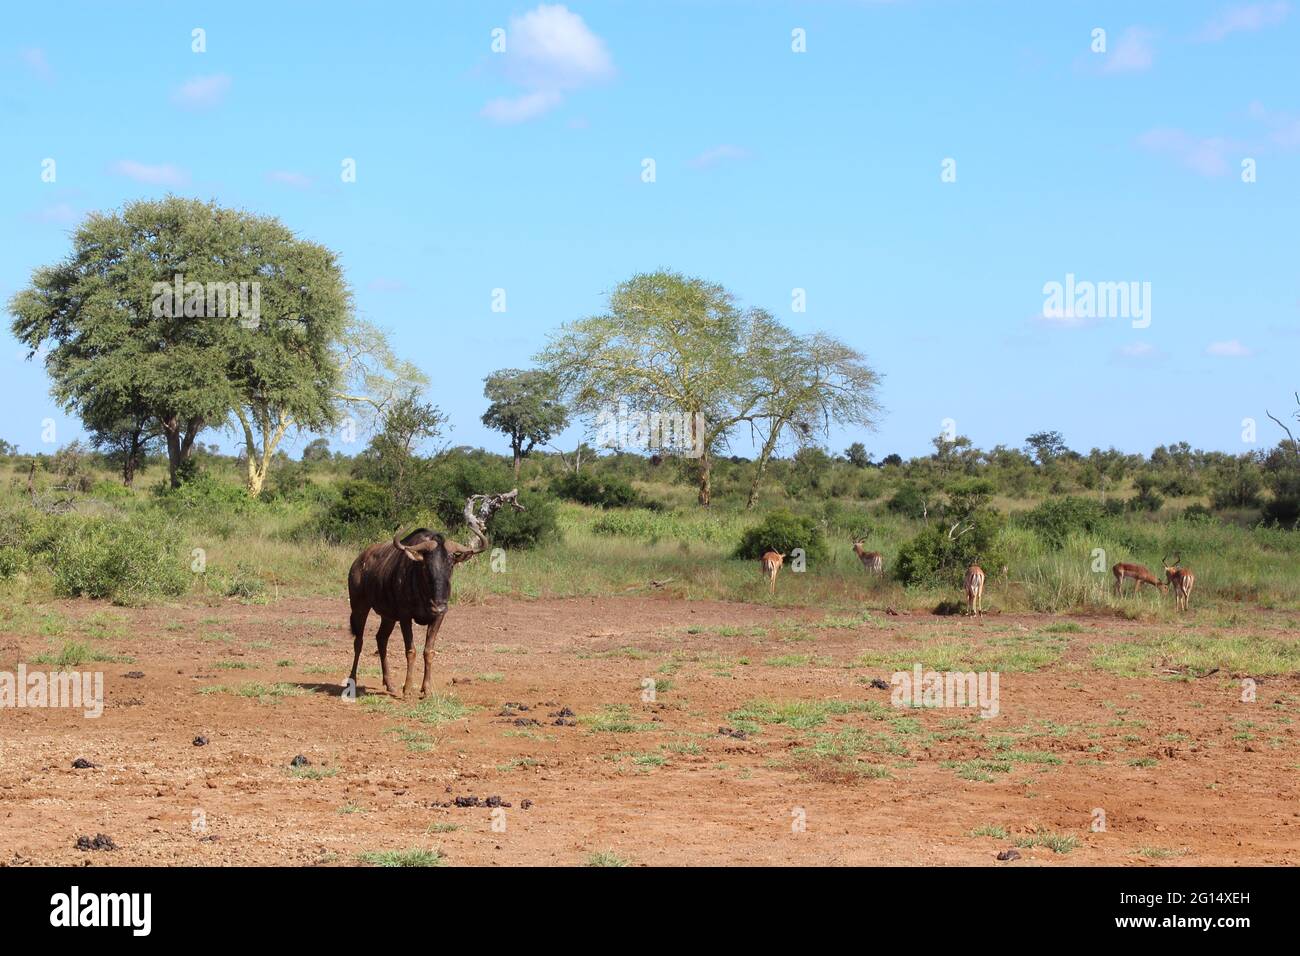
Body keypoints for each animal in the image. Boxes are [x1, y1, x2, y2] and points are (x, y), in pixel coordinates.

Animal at [346, 490, 522, 698]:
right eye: (426, 565)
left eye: (451, 564)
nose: (438, 605)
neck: (426, 592)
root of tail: (358, 562)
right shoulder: (405, 616)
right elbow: (411, 650)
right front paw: (408, 688)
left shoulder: (438, 617)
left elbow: (428, 651)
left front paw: (426, 689)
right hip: (359, 607)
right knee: (359, 641)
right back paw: (352, 682)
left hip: (388, 617)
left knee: (381, 639)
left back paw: (390, 685)